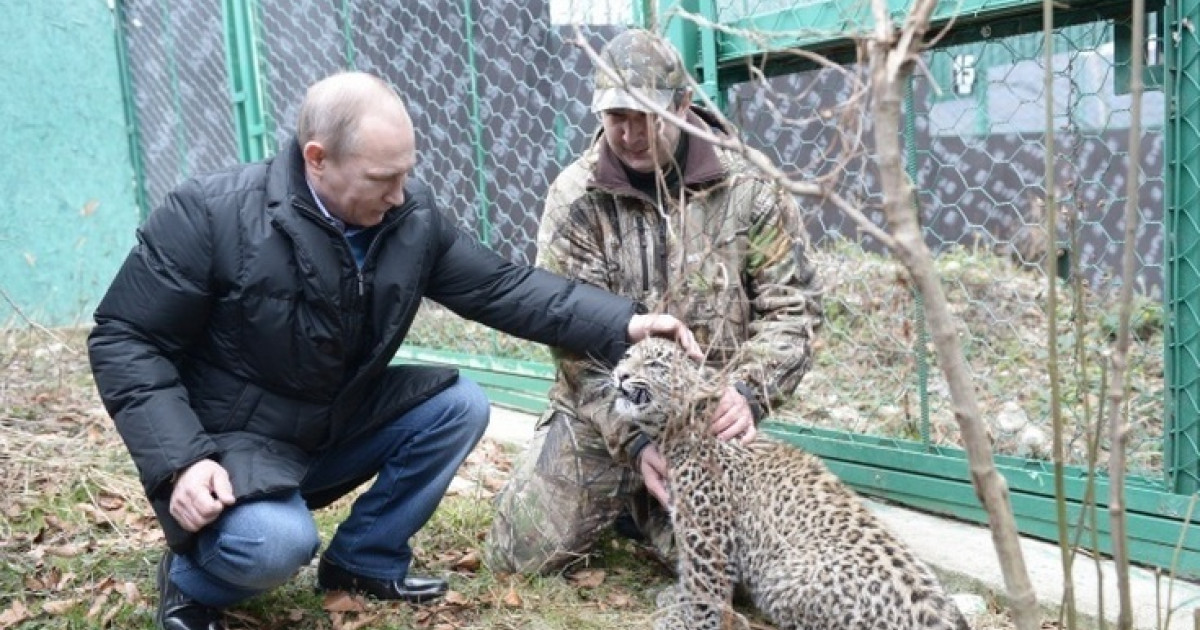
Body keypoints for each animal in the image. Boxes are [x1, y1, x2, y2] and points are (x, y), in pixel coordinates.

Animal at [610, 337, 971, 630]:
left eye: (655, 365)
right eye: (626, 355)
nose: (620, 375)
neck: (676, 430)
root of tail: (935, 614)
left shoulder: (706, 529)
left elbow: (702, 583)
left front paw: (686, 620)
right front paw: (676, 600)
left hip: (779, 577)